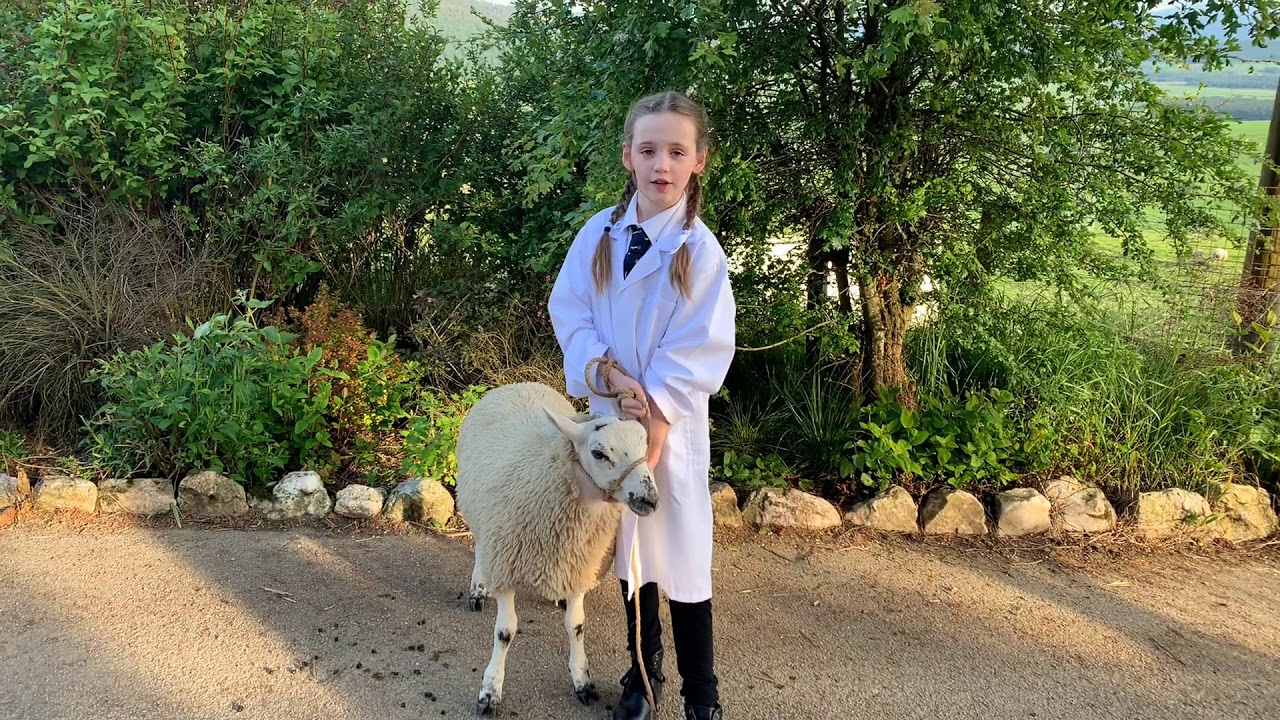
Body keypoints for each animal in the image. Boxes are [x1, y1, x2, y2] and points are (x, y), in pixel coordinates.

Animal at [455, 381, 658, 716]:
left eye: (645, 445)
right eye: (599, 453)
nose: (650, 500)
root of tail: (518, 384)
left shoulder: (579, 565)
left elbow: (576, 626)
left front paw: (582, 680)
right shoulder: (506, 560)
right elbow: (505, 632)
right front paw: (490, 691)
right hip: (481, 519)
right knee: (480, 551)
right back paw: (478, 589)